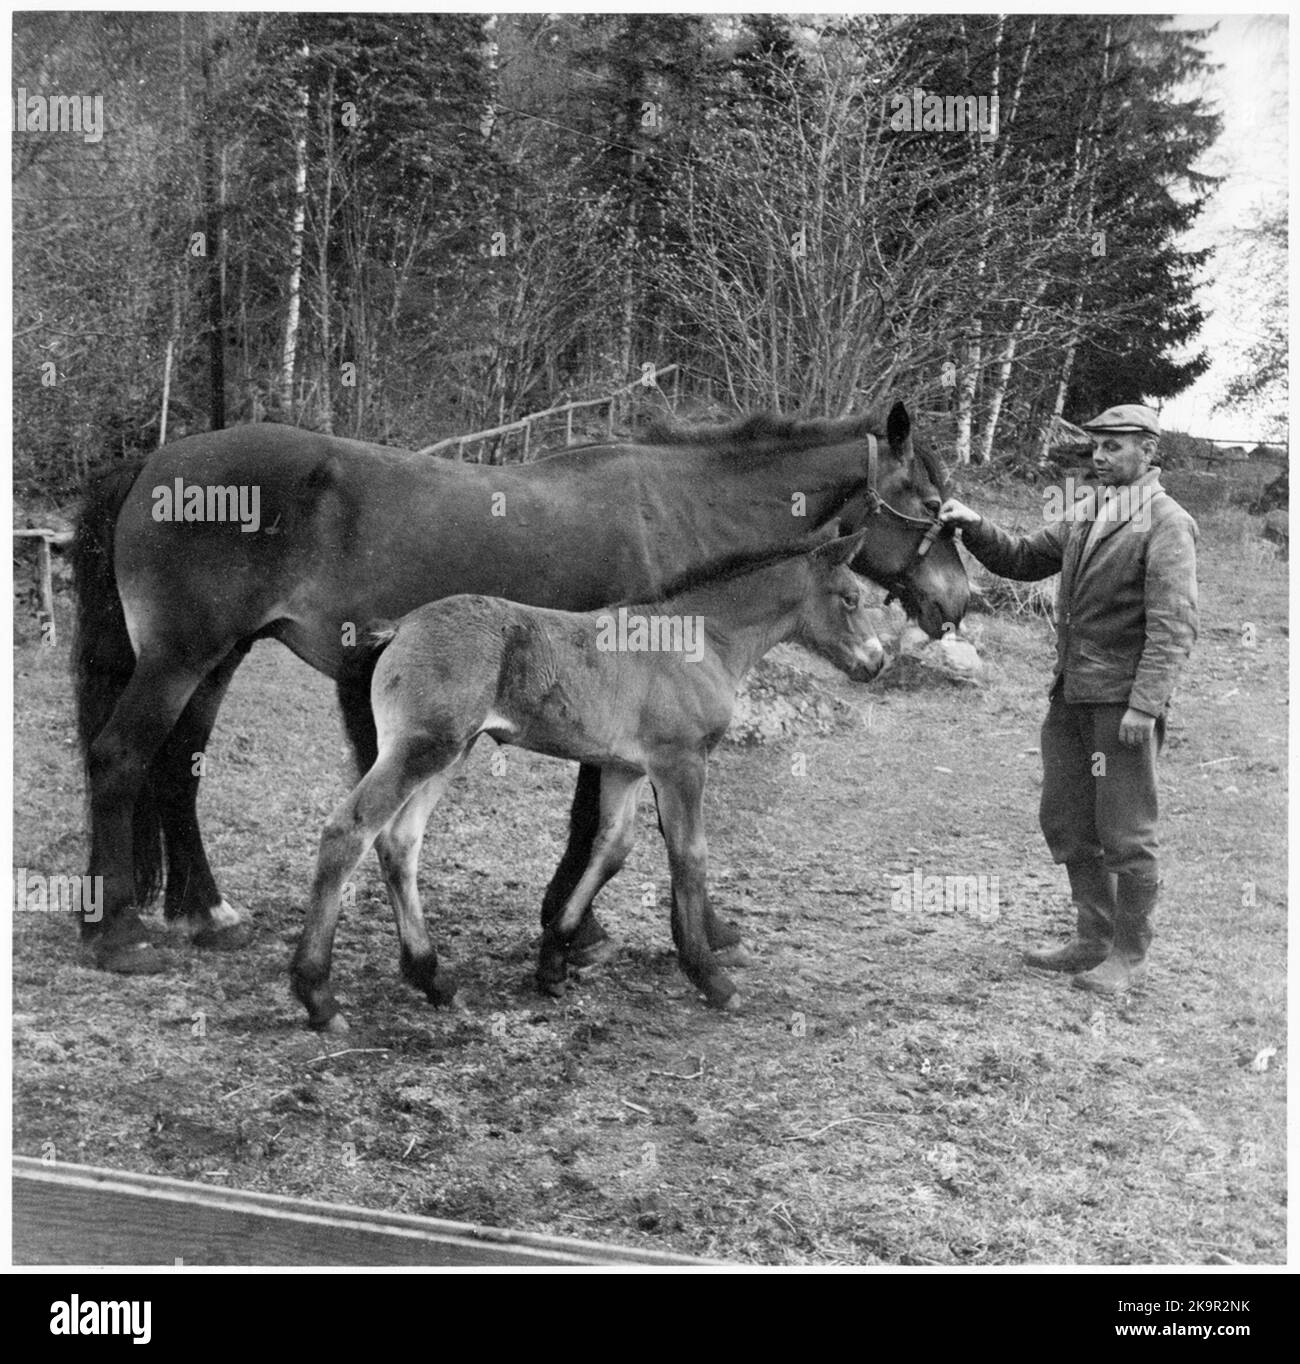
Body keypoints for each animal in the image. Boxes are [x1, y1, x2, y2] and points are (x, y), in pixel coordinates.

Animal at [71, 400, 968, 974]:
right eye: (929, 504)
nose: (956, 603)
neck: (677, 510)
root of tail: (155, 460)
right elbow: (602, 827)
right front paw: (590, 930)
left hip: (217, 660)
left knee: (177, 769)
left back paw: (205, 913)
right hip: (183, 657)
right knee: (121, 758)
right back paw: (117, 933)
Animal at [290, 524, 884, 1032]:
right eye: (850, 598)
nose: (877, 662)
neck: (700, 640)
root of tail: (400, 628)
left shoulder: (623, 768)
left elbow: (611, 847)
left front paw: (554, 962)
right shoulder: (680, 763)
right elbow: (689, 855)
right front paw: (709, 976)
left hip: (450, 752)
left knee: (399, 842)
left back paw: (433, 978)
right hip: (422, 748)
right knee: (350, 831)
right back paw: (318, 996)